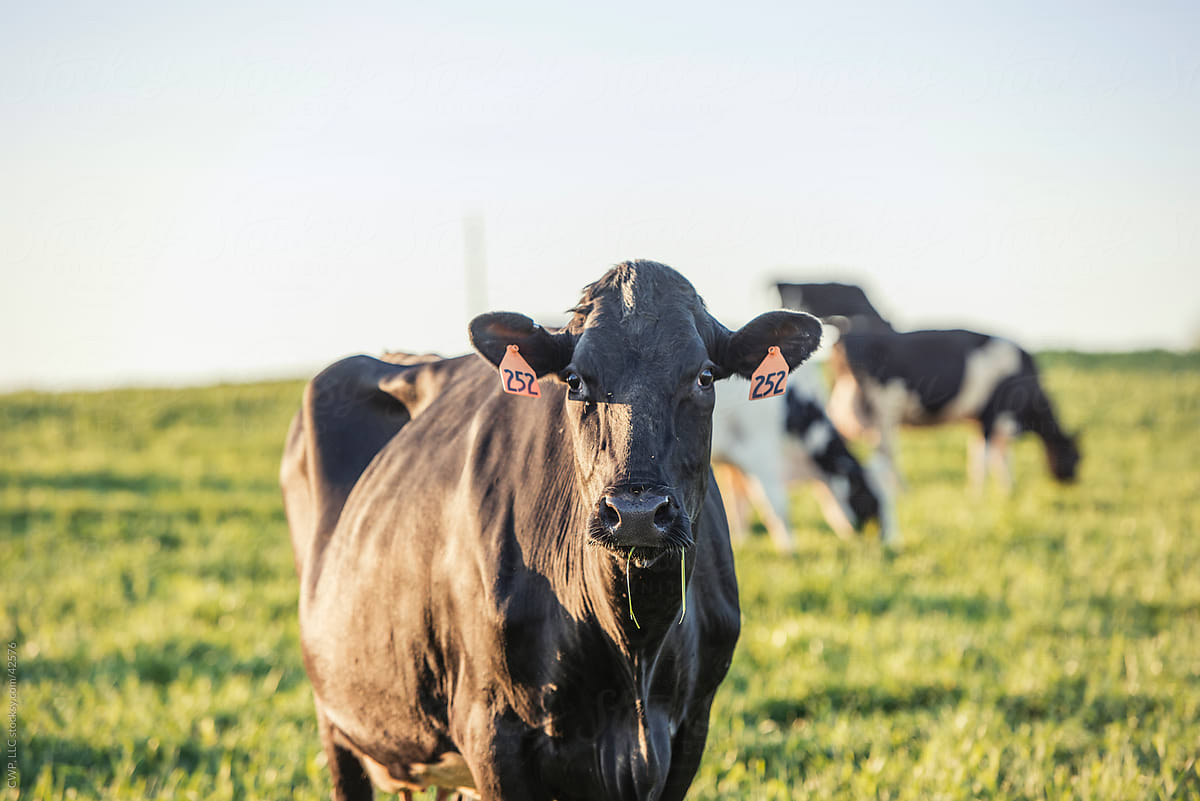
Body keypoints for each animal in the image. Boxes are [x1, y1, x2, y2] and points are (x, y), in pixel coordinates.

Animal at [281, 260, 822, 801]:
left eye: (706, 376)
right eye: (575, 380)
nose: (637, 510)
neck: (635, 648)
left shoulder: (691, 729)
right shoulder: (491, 734)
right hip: (337, 718)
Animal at [709, 371, 896, 547]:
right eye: (870, 496)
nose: (887, 541)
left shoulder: (734, 464)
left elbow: (737, 504)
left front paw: (741, 541)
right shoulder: (762, 455)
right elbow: (777, 506)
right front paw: (789, 549)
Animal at [776, 281, 1081, 490]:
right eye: (1077, 456)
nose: (1071, 481)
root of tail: (847, 328)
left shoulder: (986, 420)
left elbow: (998, 456)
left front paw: (1007, 493)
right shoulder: (990, 413)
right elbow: (984, 457)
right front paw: (979, 496)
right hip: (882, 408)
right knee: (887, 451)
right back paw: (901, 490)